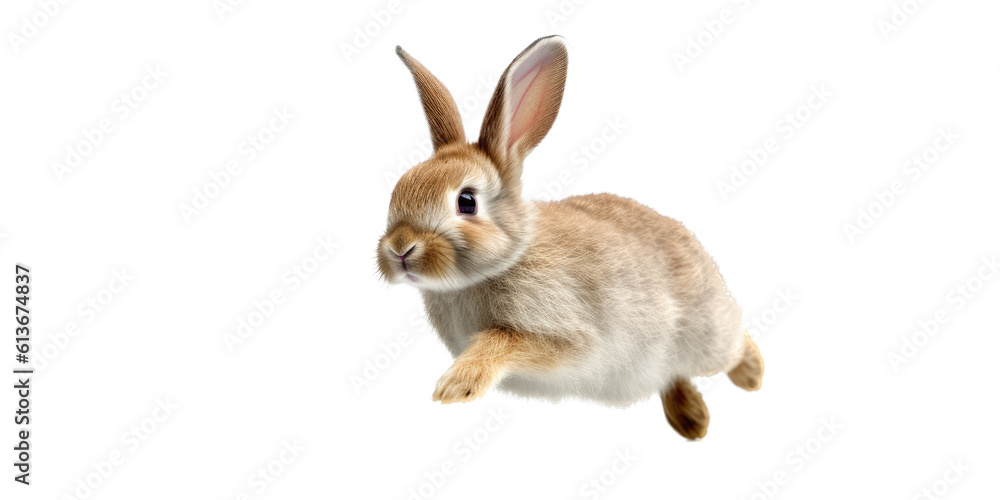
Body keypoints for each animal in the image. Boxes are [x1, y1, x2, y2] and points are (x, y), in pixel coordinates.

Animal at [376, 35, 763, 440]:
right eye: (398, 189)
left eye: (466, 201)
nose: (400, 248)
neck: (503, 262)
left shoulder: (571, 336)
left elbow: (504, 338)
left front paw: (456, 386)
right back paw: (692, 420)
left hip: (705, 337)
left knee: (735, 344)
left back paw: (753, 376)